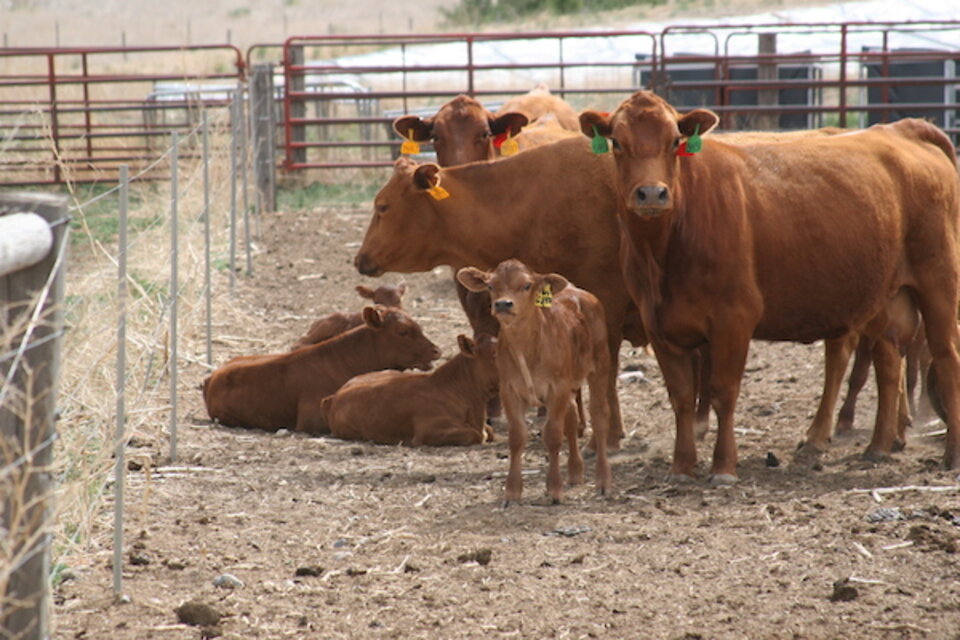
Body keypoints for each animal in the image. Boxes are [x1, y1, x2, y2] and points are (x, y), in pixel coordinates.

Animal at [457, 259, 613, 504]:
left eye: (527, 285)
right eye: (491, 286)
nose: (503, 304)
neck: (527, 349)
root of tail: (577, 291)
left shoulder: (557, 388)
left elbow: (553, 434)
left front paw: (554, 489)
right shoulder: (509, 390)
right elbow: (516, 437)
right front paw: (512, 492)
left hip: (600, 364)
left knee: (599, 415)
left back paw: (603, 481)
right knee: (571, 415)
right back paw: (575, 472)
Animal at [580, 90, 960, 482]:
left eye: (675, 141)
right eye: (617, 143)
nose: (652, 193)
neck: (665, 250)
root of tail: (902, 129)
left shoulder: (734, 319)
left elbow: (723, 392)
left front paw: (724, 466)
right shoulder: (659, 325)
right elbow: (682, 397)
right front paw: (682, 466)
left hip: (939, 281)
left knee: (946, 355)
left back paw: (951, 453)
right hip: (888, 297)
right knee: (888, 362)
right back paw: (878, 446)